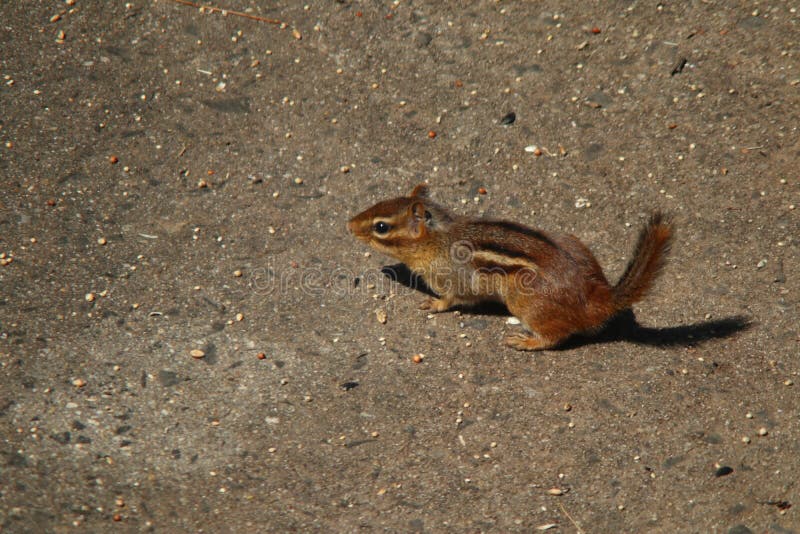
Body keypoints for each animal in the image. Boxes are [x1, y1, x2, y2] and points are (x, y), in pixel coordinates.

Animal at [348, 184, 673, 351]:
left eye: (381, 227)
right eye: (380, 201)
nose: (349, 225)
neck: (438, 238)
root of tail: (599, 297)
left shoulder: (456, 278)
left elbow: (453, 298)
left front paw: (435, 304)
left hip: (524, 302)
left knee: (557, 336)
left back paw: (526, 341)